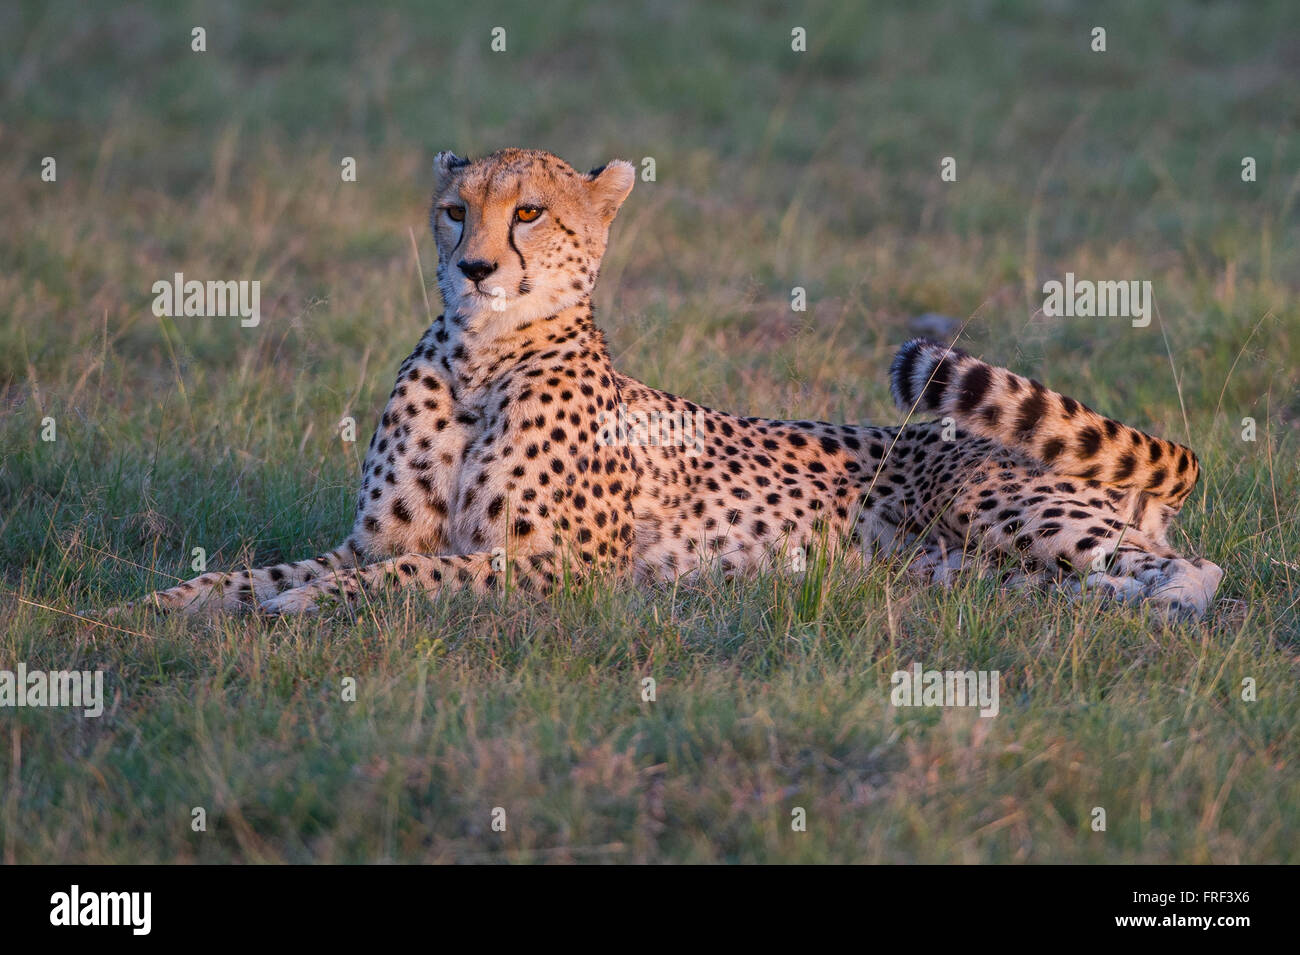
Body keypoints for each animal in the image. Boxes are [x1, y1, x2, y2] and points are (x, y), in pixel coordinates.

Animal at [113, 147, 1224, 619]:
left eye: (528, 212)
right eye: (455, 208)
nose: (475, 266)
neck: (480, 357)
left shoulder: (561, 567)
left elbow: (394, 579)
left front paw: (304, 607)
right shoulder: (371, 535)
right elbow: (263, 572)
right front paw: (155, 606)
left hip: (1000, 501)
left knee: (1191, 567)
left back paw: (1148, 604)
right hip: (960, 559)